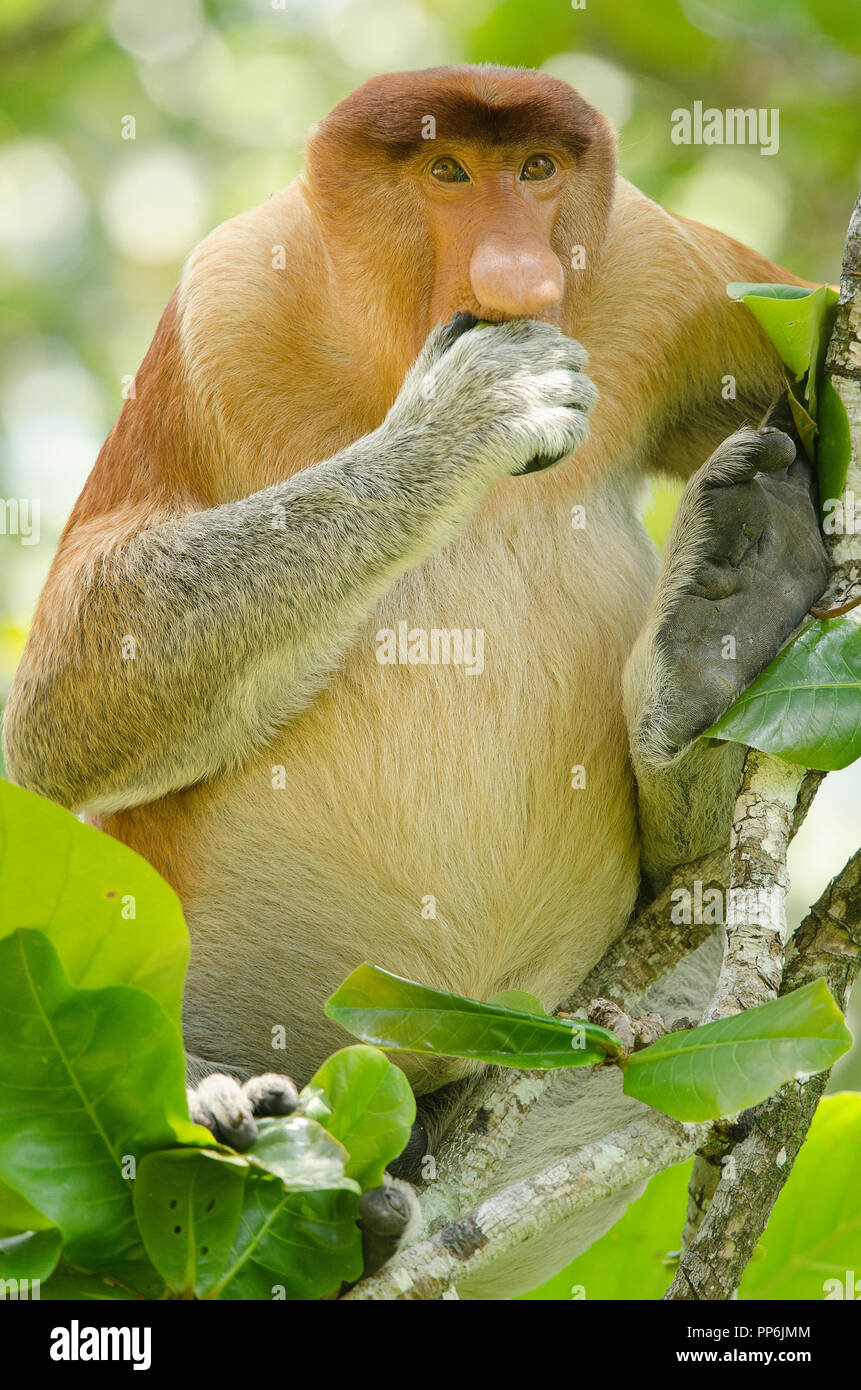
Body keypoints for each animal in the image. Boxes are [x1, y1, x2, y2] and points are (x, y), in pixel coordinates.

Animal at [3, 65, 830, 1298]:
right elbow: (67, 688)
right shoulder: (223, 306)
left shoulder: (668, 265)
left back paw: (724, 623)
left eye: (536, 170)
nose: (521, 278)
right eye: (446, 172)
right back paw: (243, 1118)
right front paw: (468, 414)